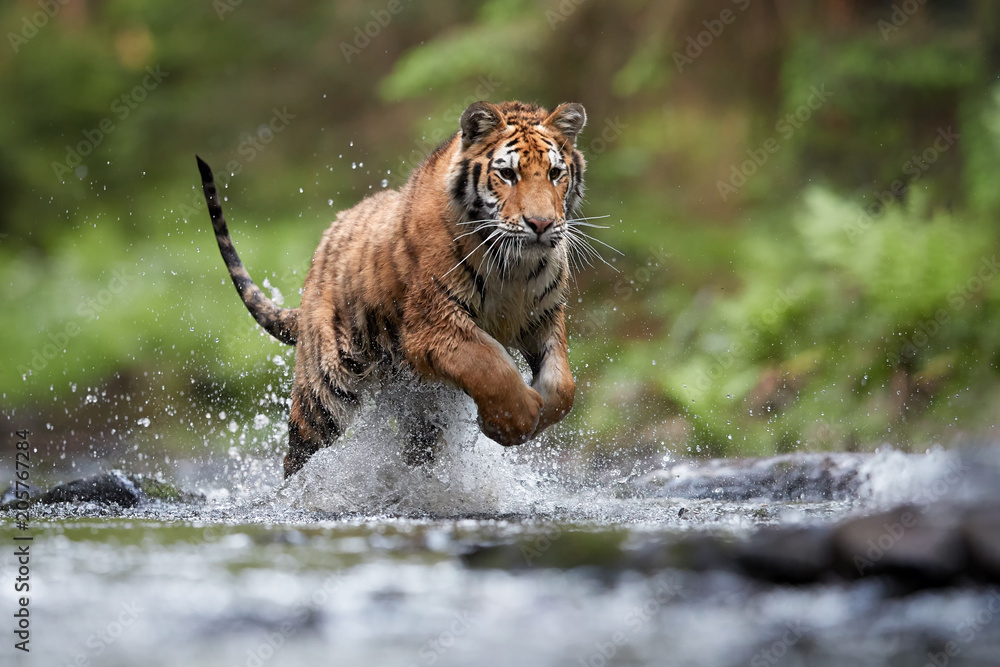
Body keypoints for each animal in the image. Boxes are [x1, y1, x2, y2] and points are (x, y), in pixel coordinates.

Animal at [197, 100, 588, 478]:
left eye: (555, 173)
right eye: (507, 174)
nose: (541, 224)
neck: (514, 269)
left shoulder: (543, 317)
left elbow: (564, 387)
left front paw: (535, 413)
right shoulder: (434, 325)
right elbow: (490, 365)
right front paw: (514, 421)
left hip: (417, 404)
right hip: (324, 393)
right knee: (297, 454)